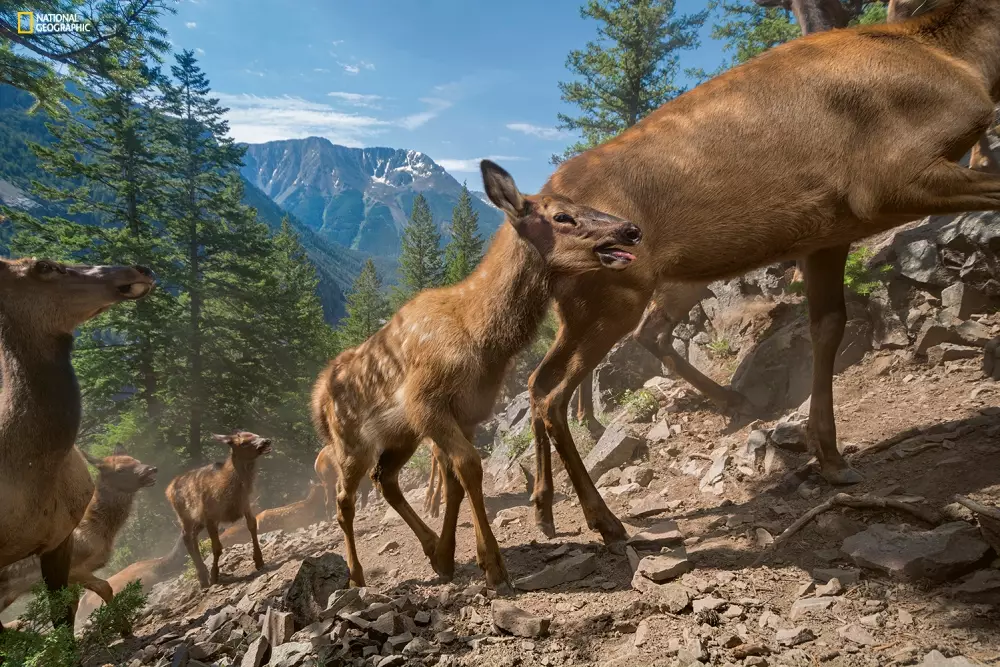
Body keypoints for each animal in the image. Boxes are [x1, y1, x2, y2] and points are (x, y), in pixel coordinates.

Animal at [0, 258, 153, 628]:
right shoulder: (75, 568)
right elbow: (100, 591)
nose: (151, 470)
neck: (99, 534)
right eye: (44, 266)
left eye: (134, 458)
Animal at [165, 430, 272, 588]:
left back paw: (203, 572)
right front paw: (214, 575)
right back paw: (203, 577)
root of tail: (168, 488)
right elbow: (216, 547)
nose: (266, 441)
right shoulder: (210, 516)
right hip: (184, 516)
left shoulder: (245, 505)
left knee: (193, 536)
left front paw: (259, 560)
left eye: (256, 434)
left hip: (198, 520)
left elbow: (252, 525)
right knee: (186, 537)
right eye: (243, 443)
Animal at [312, 162, 640, 596]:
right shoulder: (426, 402)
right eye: (562, 216)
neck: (481, 339)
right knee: (343, 503)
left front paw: (449, 555)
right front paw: (493, 567)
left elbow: (455, 478)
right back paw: (356, 576)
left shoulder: (465, 412)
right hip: (349, 444)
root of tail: (317, 399)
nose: (631, 229)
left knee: (385, 479)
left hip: (400, 436)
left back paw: (431, 549)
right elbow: (469, 466)